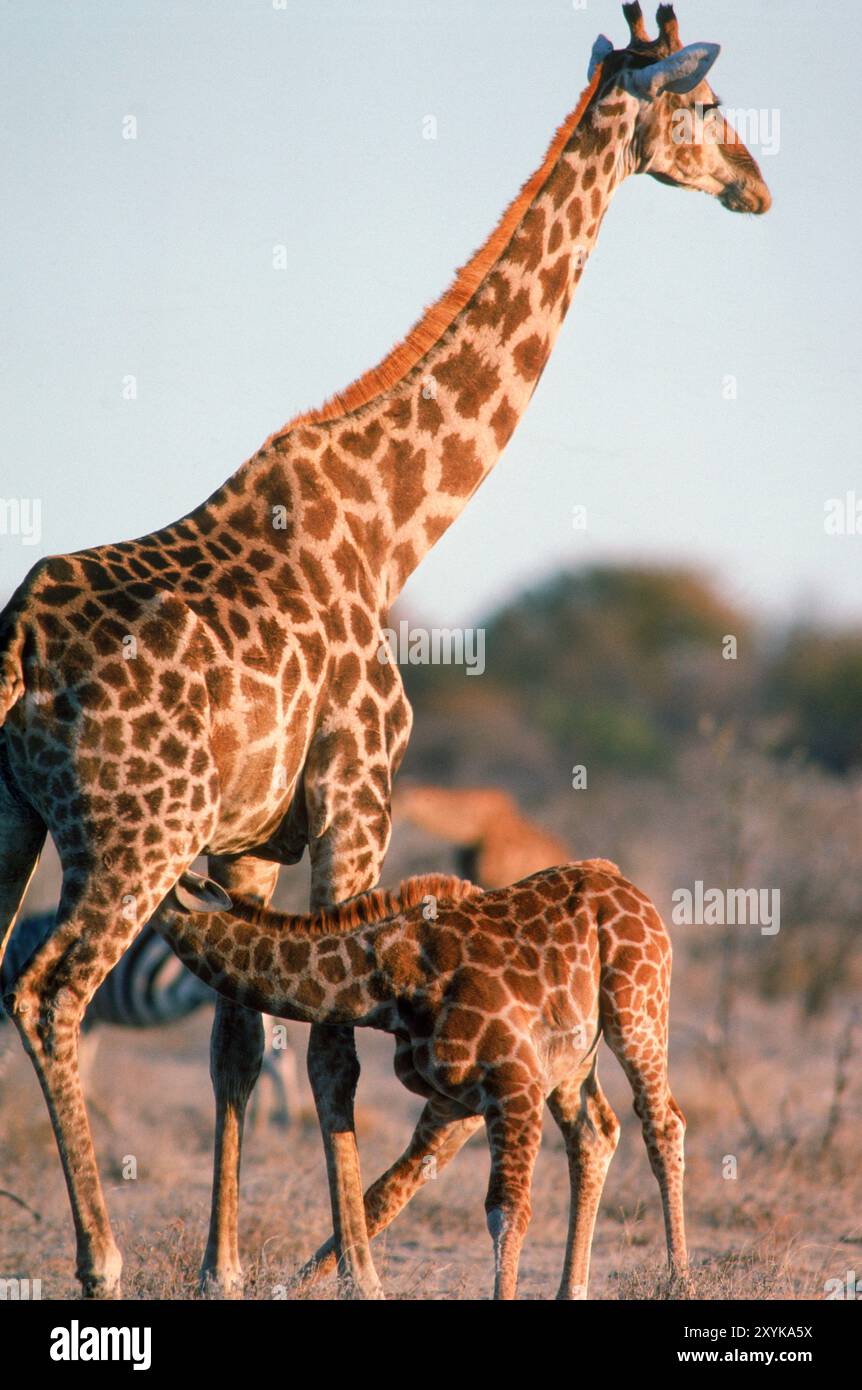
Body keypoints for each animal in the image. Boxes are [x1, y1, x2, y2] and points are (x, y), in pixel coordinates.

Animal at [158, 857, 686, 1300]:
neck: (383, 980)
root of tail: (623, 881)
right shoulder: (460, 1096)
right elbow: (384, 1194)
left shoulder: (512, 1079)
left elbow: (506, 1210)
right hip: (572, 1064)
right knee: (595, 1135)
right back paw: (570, 1292)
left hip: (637, 1011)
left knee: (663, 1124)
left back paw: (680, 1282)